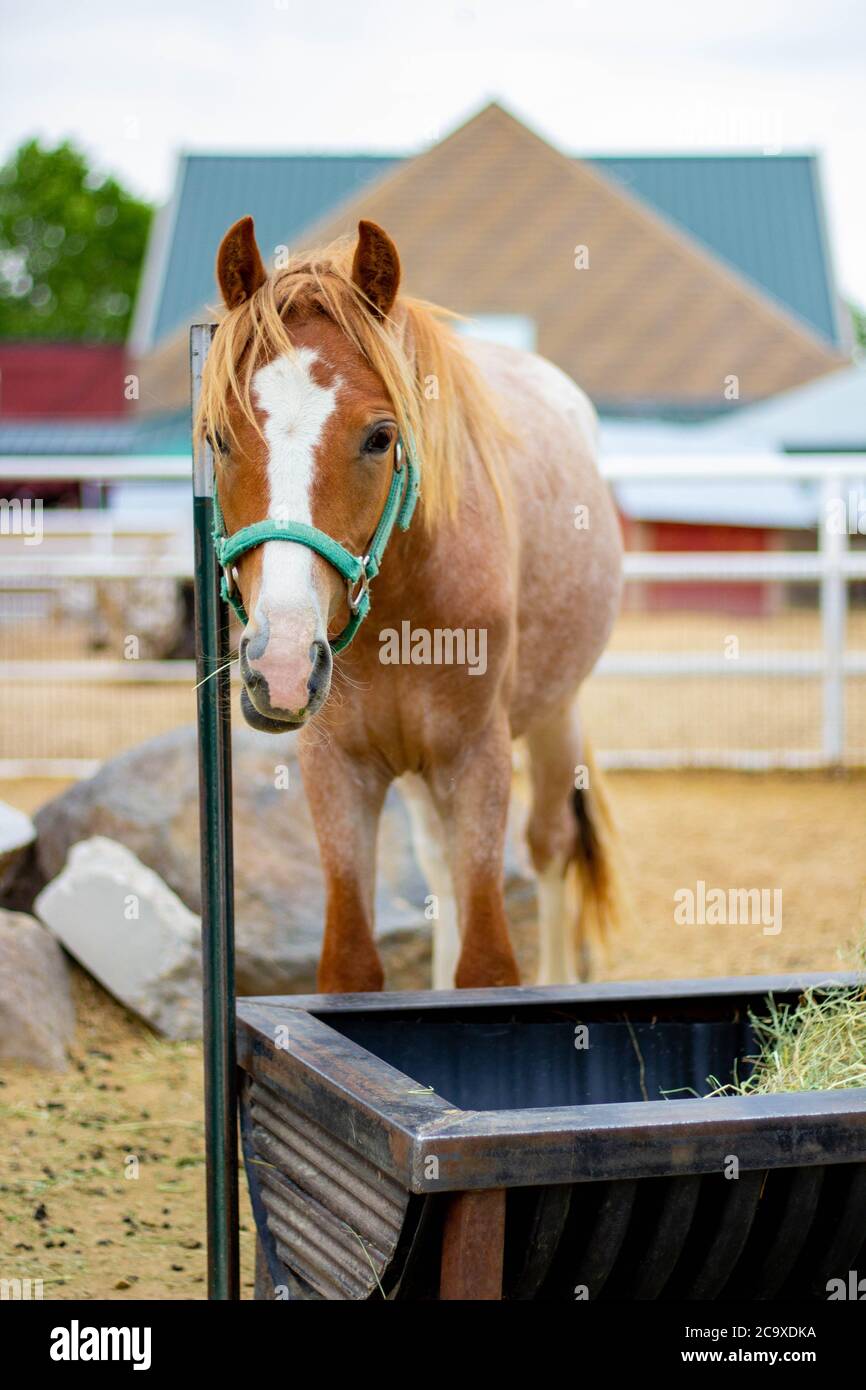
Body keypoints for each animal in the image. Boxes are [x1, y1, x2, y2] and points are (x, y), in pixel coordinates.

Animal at [197, 215, 625, 993]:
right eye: (217, 436)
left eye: (380, 437)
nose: (281, 665)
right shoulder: (338, 769)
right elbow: (353, 961)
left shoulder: (475, 759)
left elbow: (487, 963)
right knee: (439, 865)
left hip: (555, 717)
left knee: (550, 846)